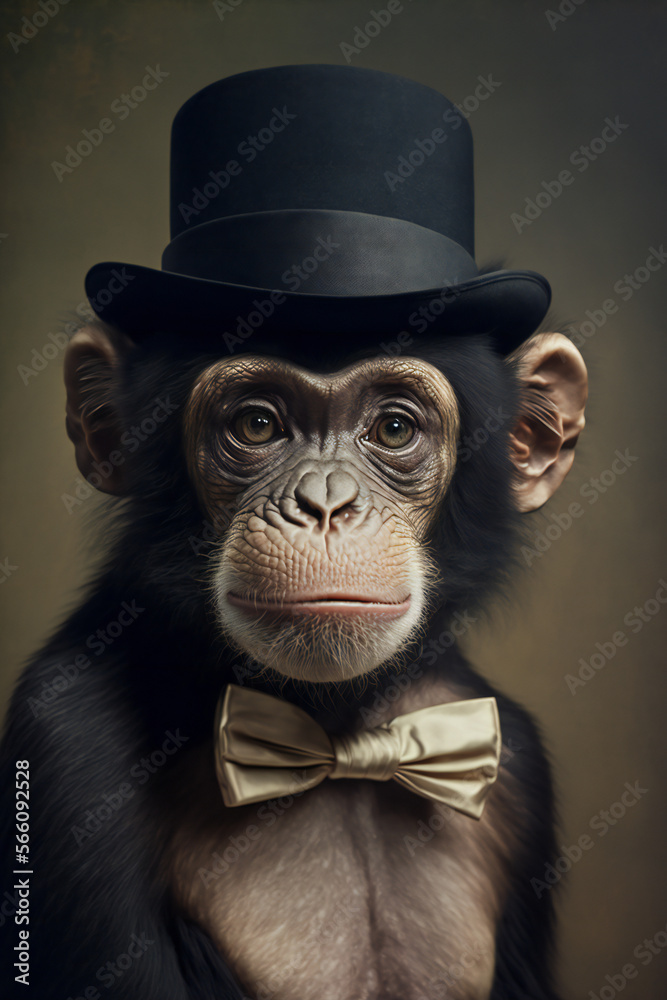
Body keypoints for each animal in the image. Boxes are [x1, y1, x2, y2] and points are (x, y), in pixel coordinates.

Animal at [0, 65, 588, 1000]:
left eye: (392, 428)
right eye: (257, 424)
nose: (324, 503)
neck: (335, 739)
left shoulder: (520, 770)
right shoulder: (62, 749)